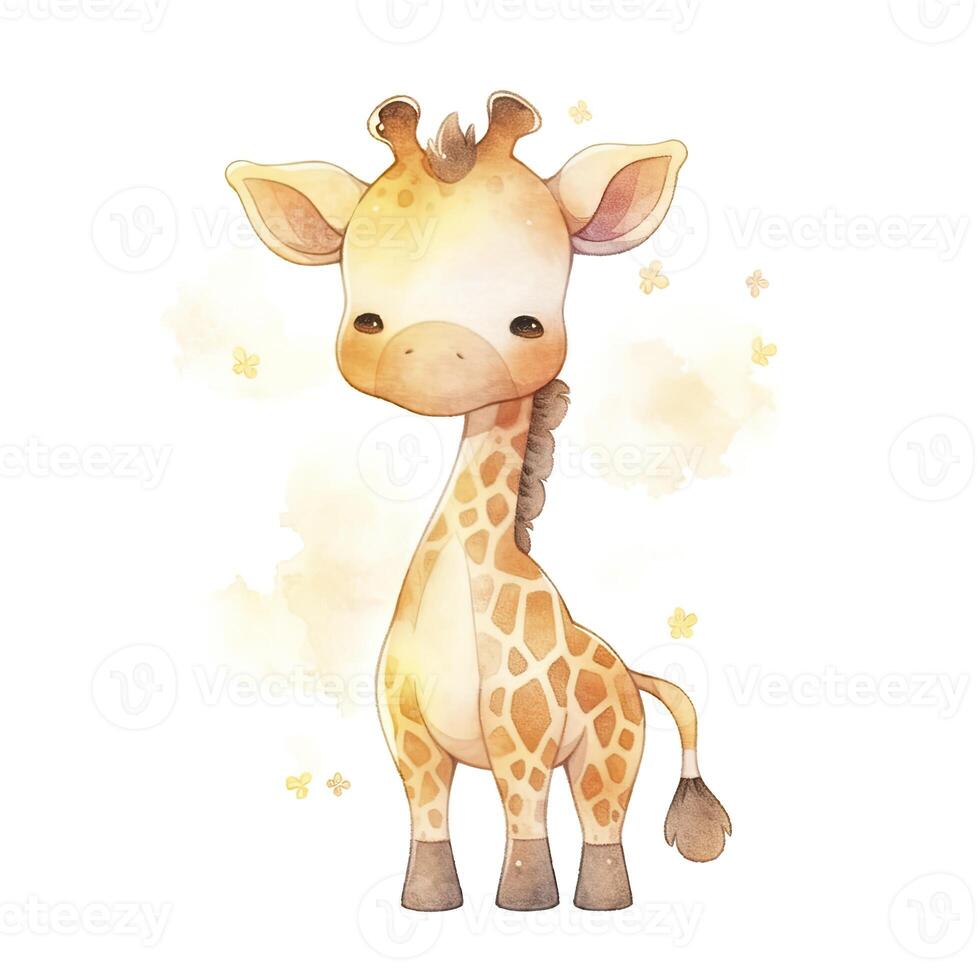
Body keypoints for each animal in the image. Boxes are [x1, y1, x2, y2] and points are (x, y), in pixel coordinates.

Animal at [226, 92, 731, 912]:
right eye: (367, 318)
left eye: (527, 322)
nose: (433, 351)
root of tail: (630, 671)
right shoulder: (409, 734)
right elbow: (427, 819)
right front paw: (429, 903)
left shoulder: (522, 733)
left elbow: (523, 816)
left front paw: (524, 904)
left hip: (610, 744)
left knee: (602, 815)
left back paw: (603, 905)